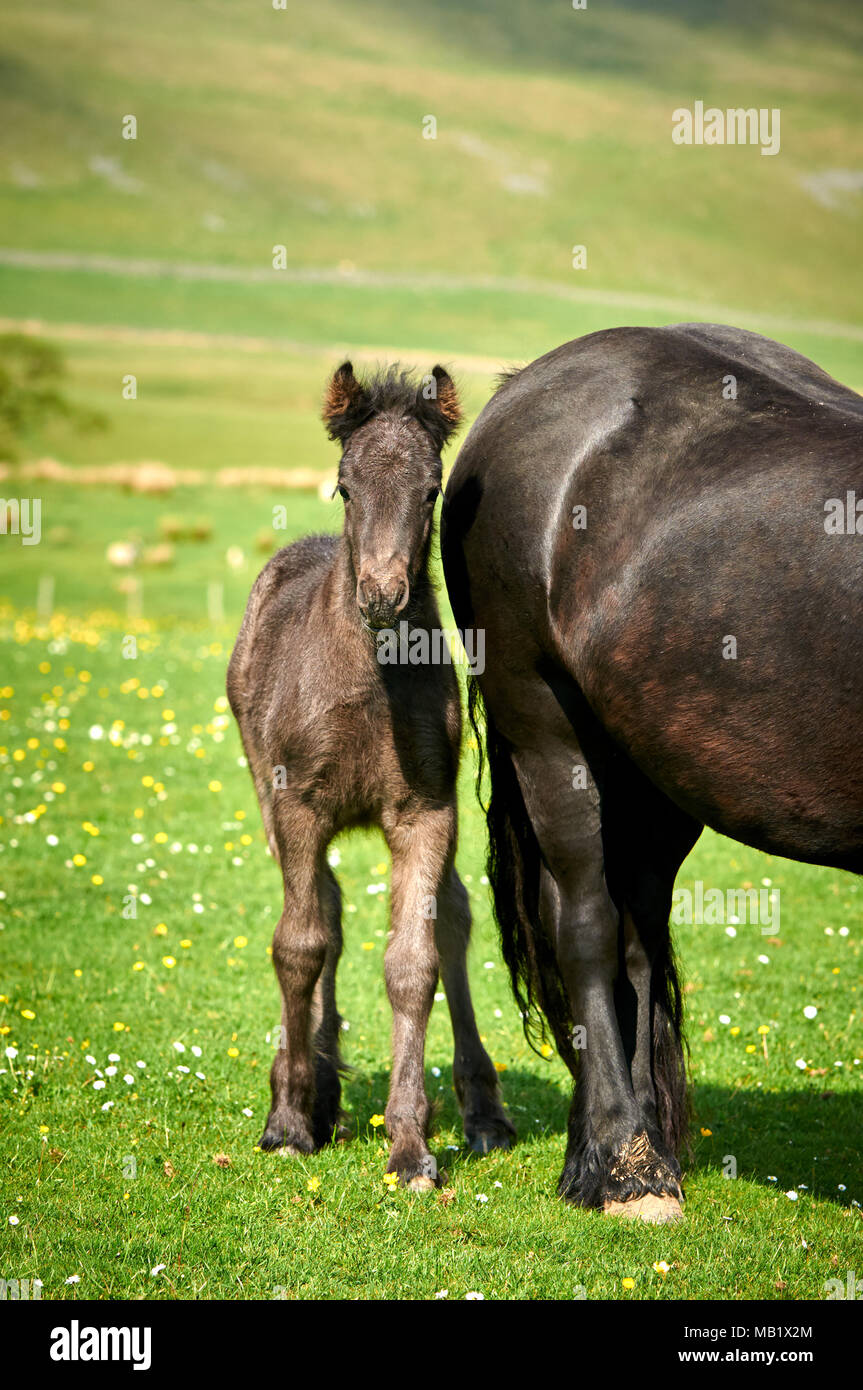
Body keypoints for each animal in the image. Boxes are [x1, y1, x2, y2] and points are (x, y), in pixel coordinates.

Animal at [227, 361, 514, 1186]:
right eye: (345, 486)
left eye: (430, 491)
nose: (382, 596)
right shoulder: (296, 805)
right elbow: (299, 945)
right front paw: (289, 1121)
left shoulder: (426, 810)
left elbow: (413, 961)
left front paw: (411, 1146)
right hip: (269, 797)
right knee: (322, 907)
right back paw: (310, 1083)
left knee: (448, 917)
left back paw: (481, 1111)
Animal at [441, 323, 863, 1223]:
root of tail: (522, 386)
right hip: (549, 732)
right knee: (587, 926)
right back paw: (626, 1168)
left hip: (654, 777)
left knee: (635, 943)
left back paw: (622, 1147)